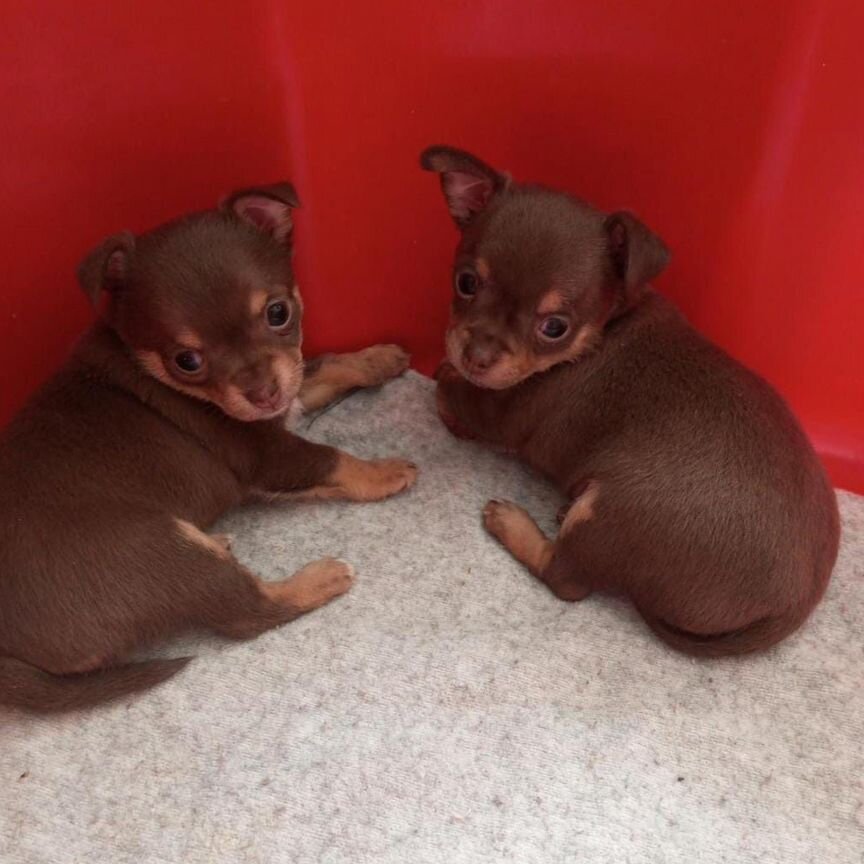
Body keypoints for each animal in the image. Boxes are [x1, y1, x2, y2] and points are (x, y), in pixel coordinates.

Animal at [0, 183, 417, 712]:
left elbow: (326, 366)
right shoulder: (268, 456)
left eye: (278, 313)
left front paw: (379, 357)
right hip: (161, 550)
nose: (262, 394)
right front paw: (385, 471)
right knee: (249, 614)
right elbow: (332, 460)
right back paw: (321, 576)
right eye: (187, 361)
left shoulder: (287, 392)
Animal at [421, 145, 839, 656]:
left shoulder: (500, 411)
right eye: (465, 282)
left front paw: (447, 390)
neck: (604, 328)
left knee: (566, 579)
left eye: (554, 327)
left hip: (611, 512)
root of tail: (791, 608)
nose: (477, 357)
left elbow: (447, 387)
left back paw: (512, 523)